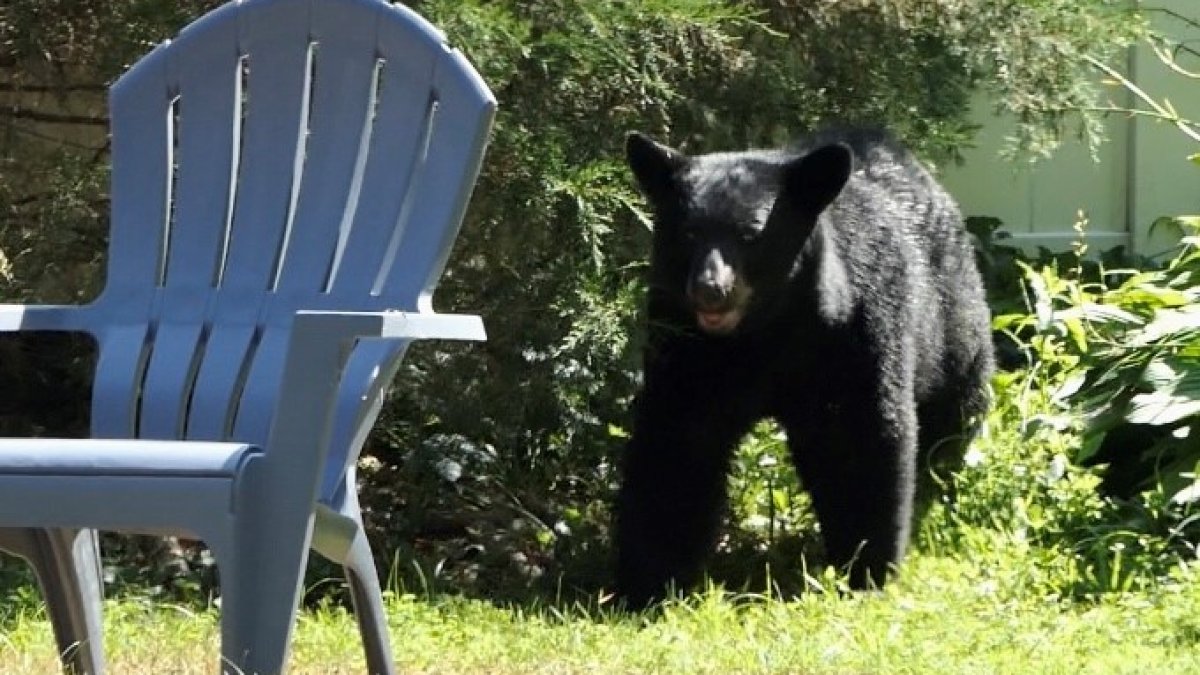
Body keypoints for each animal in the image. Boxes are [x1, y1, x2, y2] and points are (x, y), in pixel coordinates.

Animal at [614, 128, 994, 608]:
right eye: (688, 232)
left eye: (750, 234)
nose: (709, 289)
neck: (762, 332)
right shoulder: (684, 345)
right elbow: (676, 442)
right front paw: (646, 582)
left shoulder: (854, 331)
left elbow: (856, 435)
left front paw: (867, 568)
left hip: (952, 317)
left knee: (956, 406)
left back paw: (935, 481)